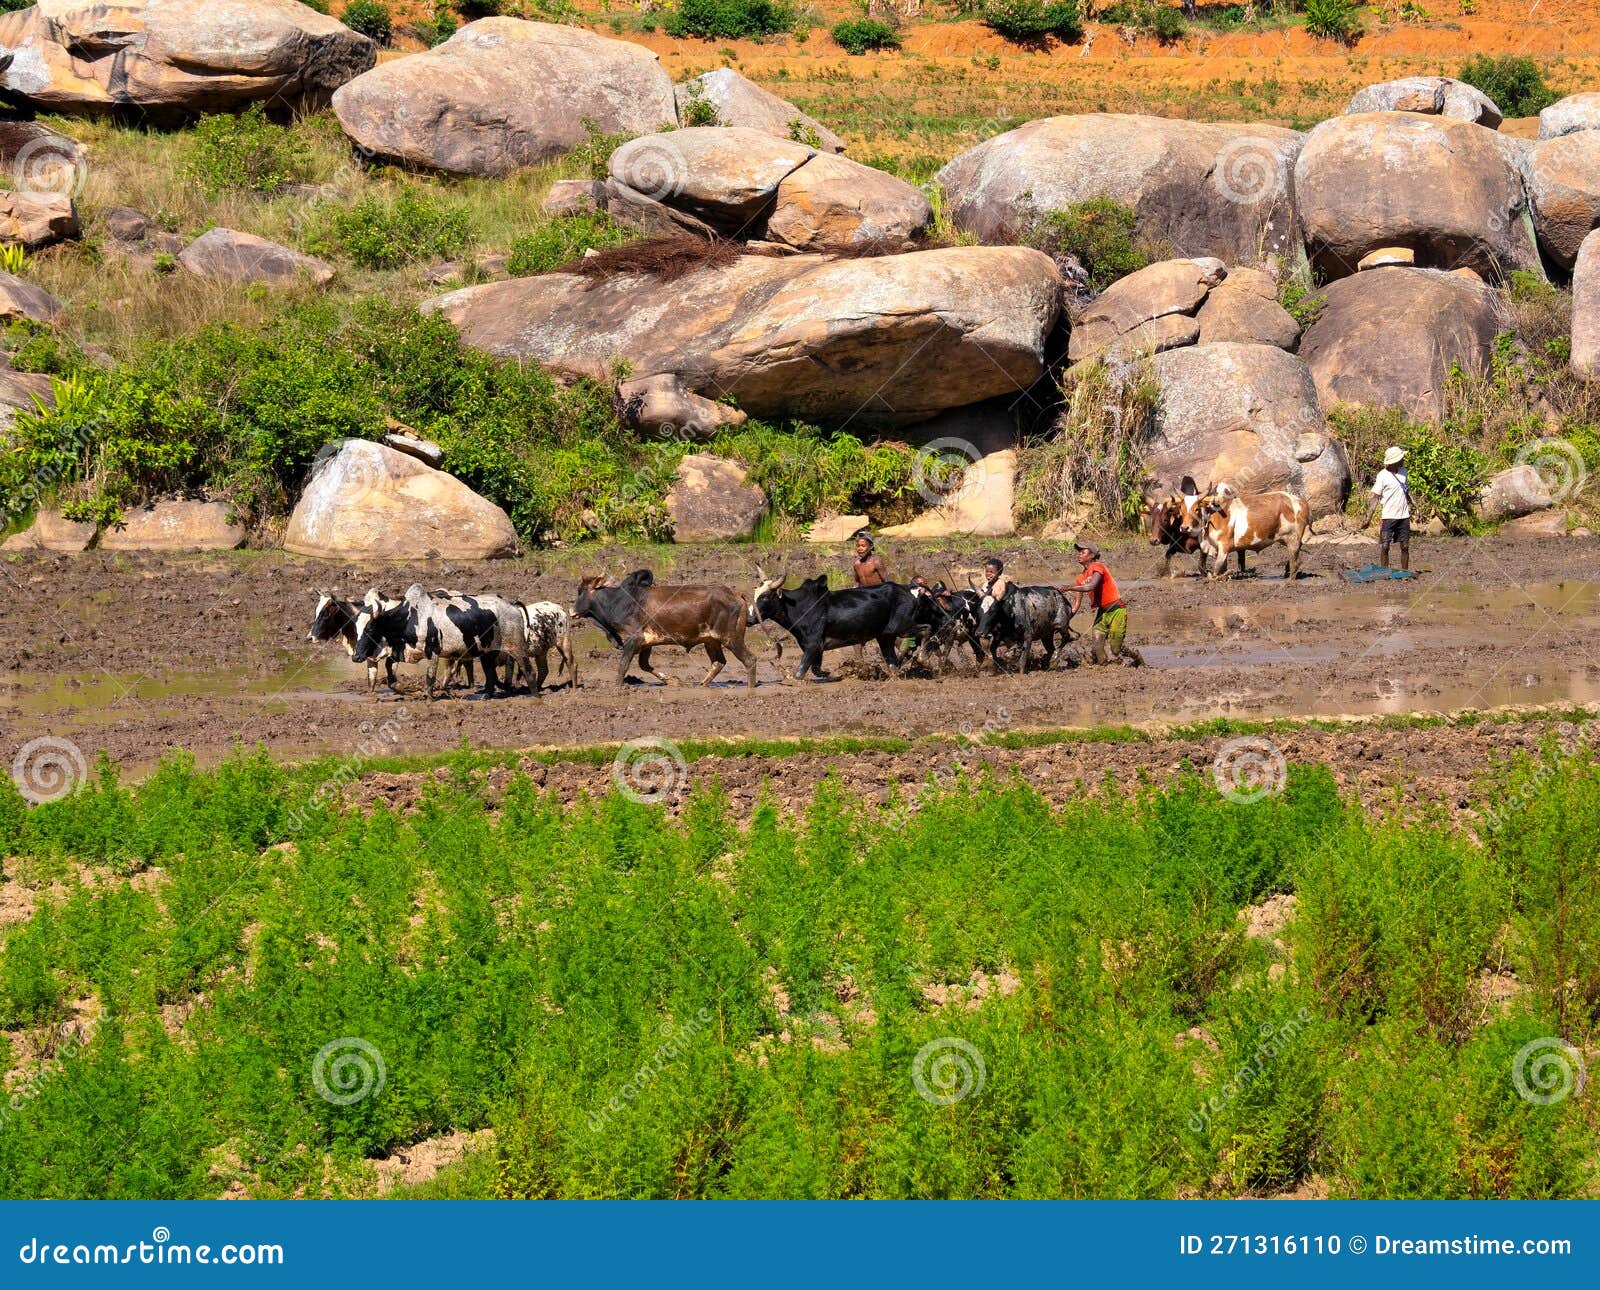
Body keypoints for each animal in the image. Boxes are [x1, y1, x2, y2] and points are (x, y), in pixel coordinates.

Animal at [352, 585, 533, 700]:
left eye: (369, 629)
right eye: (355, 629)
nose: (356, 657)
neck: (408, 618)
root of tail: (510, 603)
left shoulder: (433, 651)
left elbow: (430, 676)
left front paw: (428, 697)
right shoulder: (405, 652)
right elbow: (390, 675)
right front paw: (409, 690)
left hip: (516, 647)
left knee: (528, 670)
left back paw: (534, 696)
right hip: (487, 653)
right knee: (490, 675)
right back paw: (485, 696)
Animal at [573, 569, 757, 688]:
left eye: (581, 591)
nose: (571, 610)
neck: (618, 601)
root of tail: (736, 594)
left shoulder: (634, 639)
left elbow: (623, 665)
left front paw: (617, 688)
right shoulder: (646, 643)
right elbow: (644, 665)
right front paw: (673, 681)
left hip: (731, 638)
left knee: (749, 660)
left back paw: (751, 689)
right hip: (711, 640)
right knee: (718, 662)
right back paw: (701, 685)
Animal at [749, 573, 928, 681]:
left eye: (766, 596)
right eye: (755, 595)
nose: (750, 618)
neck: (797, 607)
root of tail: (909, 590)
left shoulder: (813, 644)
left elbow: (800, 673)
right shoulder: (815, 647)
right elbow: (815, 669)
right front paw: (830, 674)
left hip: (902, 627)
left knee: (926, 630)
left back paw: (922, 659)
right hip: (885, 636)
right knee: (892, 662)